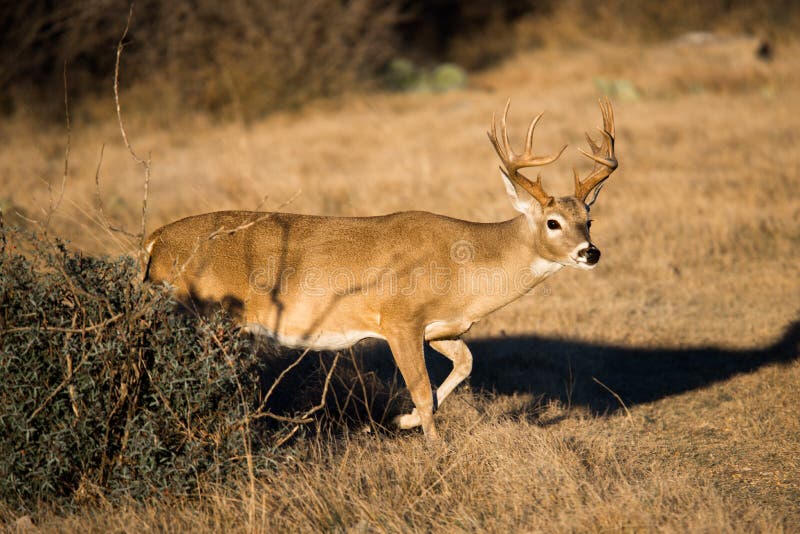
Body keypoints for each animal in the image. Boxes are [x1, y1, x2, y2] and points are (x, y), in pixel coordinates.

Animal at [143, 99, 618, 441]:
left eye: (589, 220)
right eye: (553, 222)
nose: (590, 253)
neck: (465, 267)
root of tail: (156, 240)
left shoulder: (440, 327)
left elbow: (465, 365)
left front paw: (402, 422)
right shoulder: (398, 318)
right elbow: (423, 392)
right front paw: (433, 448)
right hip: (202, 315)